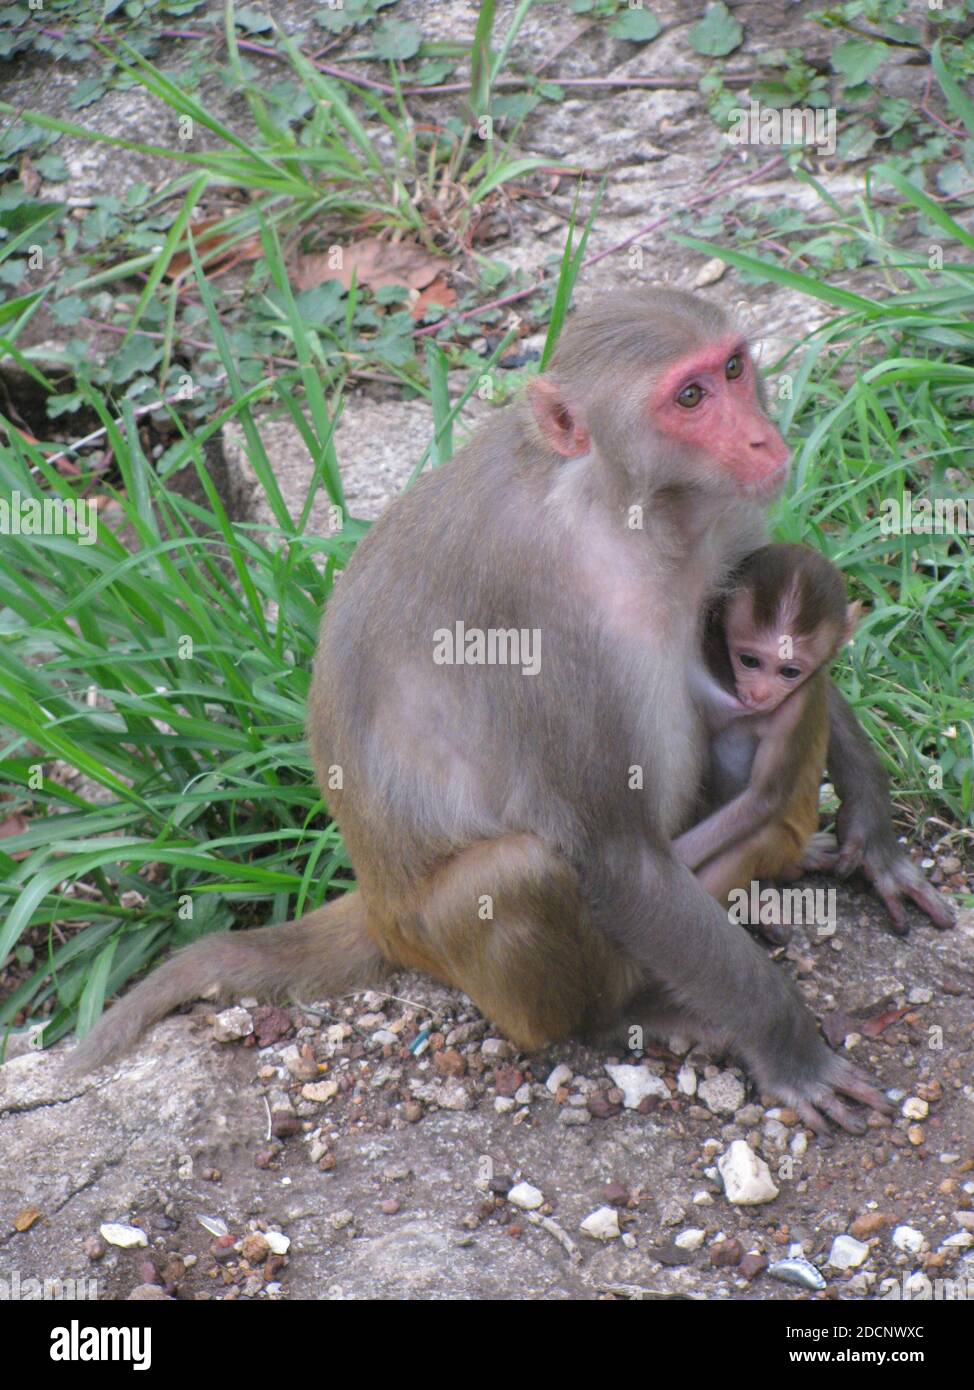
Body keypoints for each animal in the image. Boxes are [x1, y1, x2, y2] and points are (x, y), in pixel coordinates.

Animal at [675, 543, 860, 935]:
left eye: (789, 671)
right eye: (749, 661)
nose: (760, 694)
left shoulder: (796, 710)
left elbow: (764, 798)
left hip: (785, 842)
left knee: (755, 837)